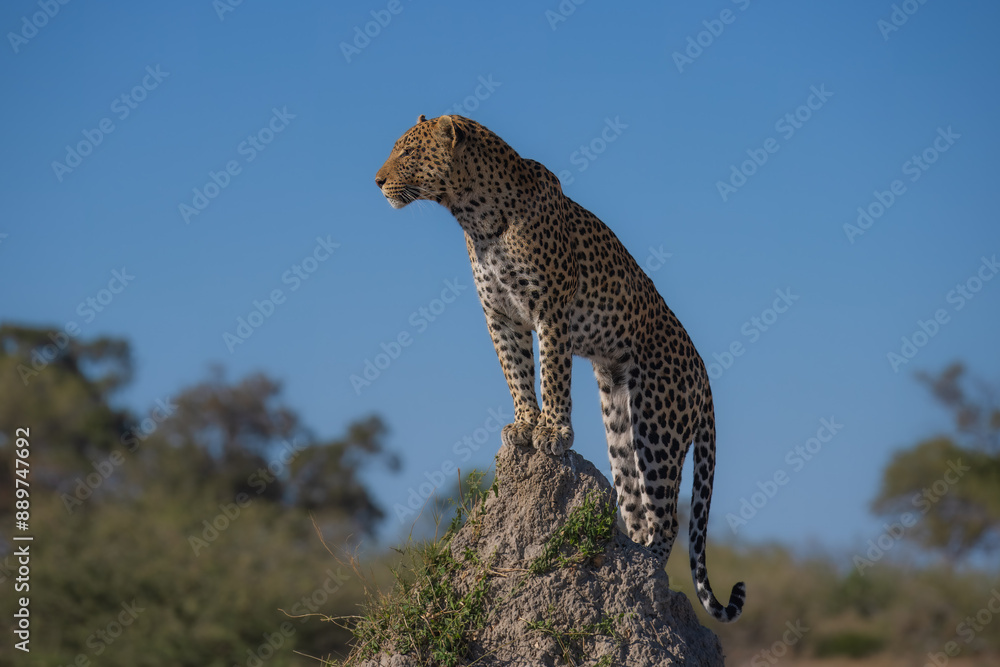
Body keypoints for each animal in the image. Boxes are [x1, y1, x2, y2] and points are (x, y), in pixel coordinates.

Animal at [375, 114, 745, 622]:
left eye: (409, 153)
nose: (377, 180)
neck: (475, 216)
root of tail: (704, 371)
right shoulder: (501, 315)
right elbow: (516, 372)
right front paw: (524, 425)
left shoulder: (551, 309)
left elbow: (552, 374)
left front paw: (552, 432)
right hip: (620, 427)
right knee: (636, 509)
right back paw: (632, 556)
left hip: (657, 429)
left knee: (669, 516)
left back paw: (647, 572)